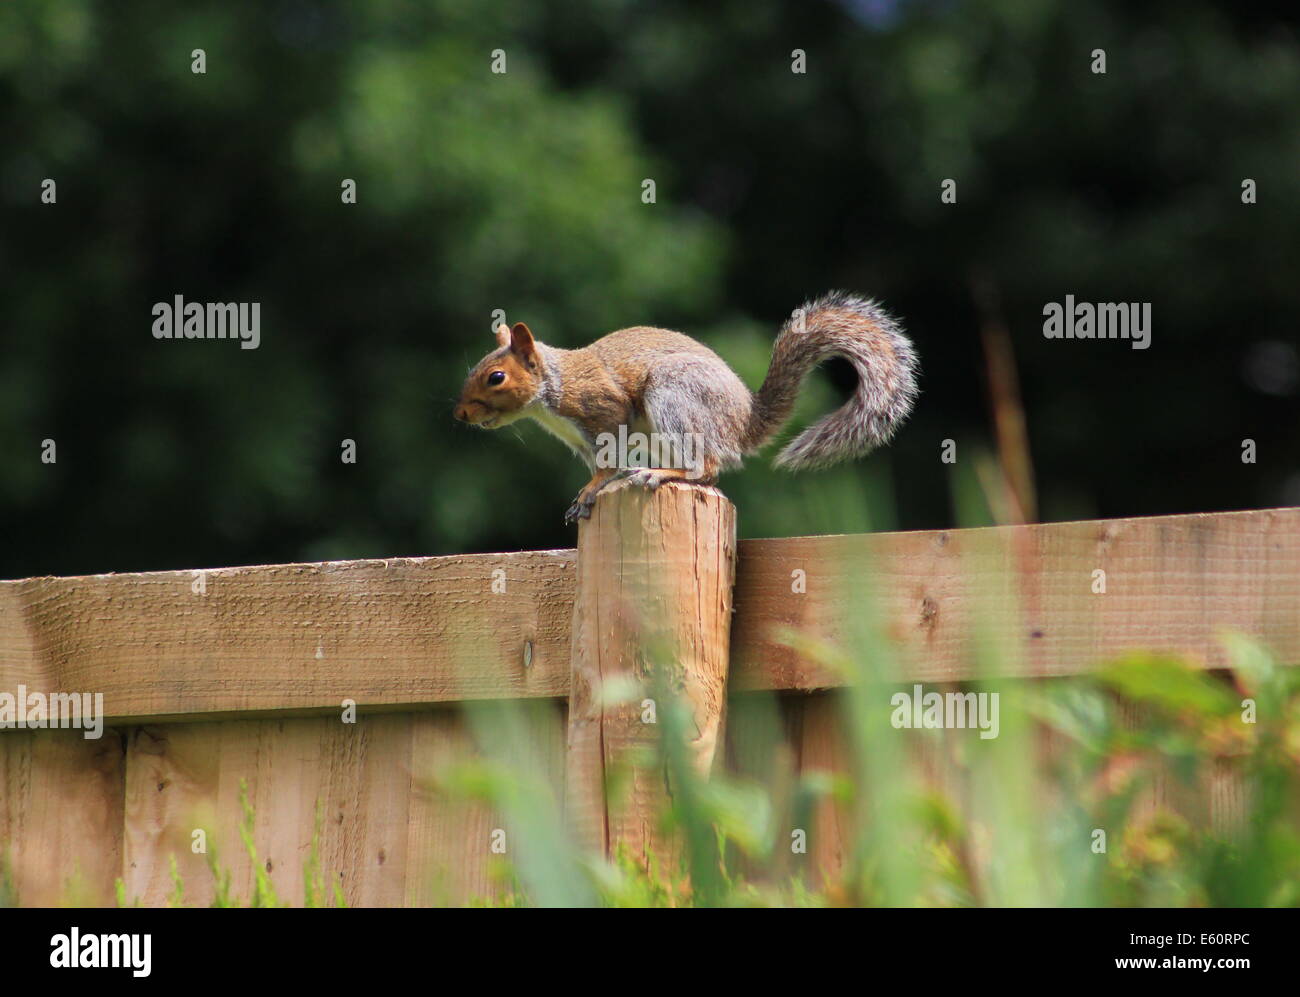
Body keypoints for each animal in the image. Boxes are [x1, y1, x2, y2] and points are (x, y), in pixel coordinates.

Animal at [454, 291, 919, 523]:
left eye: (496, 377)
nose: (461, 414)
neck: (553, 389)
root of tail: (743, 424)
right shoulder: (582, 440)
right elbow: (602, 466)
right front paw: (585, 494)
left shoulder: (604, 413)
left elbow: (608, 465)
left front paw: (592, 489)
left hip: (676, 397)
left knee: (707, 469)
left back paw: (660, 474)